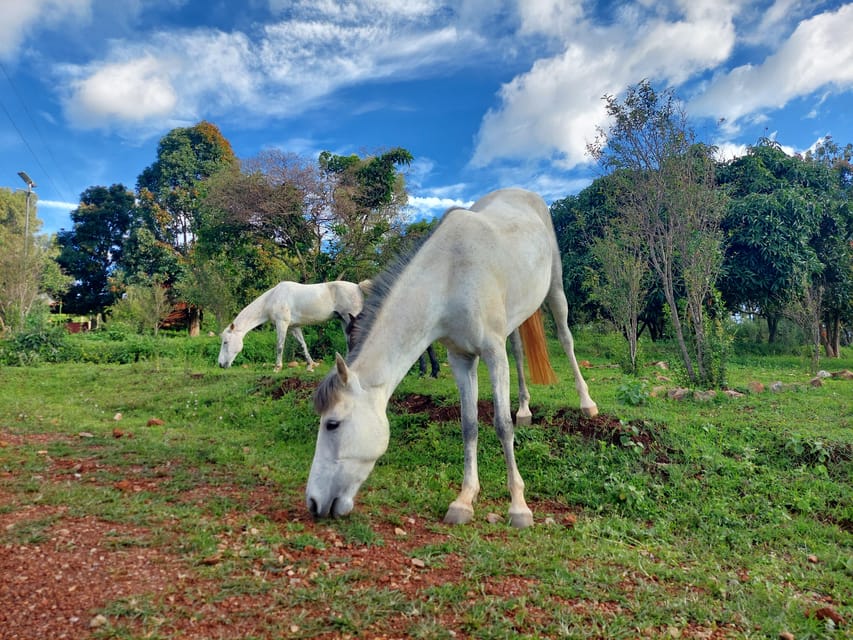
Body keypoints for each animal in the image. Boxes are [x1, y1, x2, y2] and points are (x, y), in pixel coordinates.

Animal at [218, 280, 365, 372]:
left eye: (225, 342)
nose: (220, 364)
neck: (273, 298)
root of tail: (358, 287)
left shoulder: (281, 324)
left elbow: (279, 346)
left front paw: (277, 367)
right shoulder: (294, 327)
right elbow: (303, 345)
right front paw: (310, 365)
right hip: (344, 321)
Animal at [307, 188, 598, 528]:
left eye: (333, 424)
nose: (313, 502)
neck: (449, 278)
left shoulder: (492, 353)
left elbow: (502, 425)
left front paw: (519, 507)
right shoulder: (461, 358)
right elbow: (469, 424)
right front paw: (464, 500)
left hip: (555, 287)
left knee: (566, 338)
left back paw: (587, 403)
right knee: (518, 350)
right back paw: (525, 409)